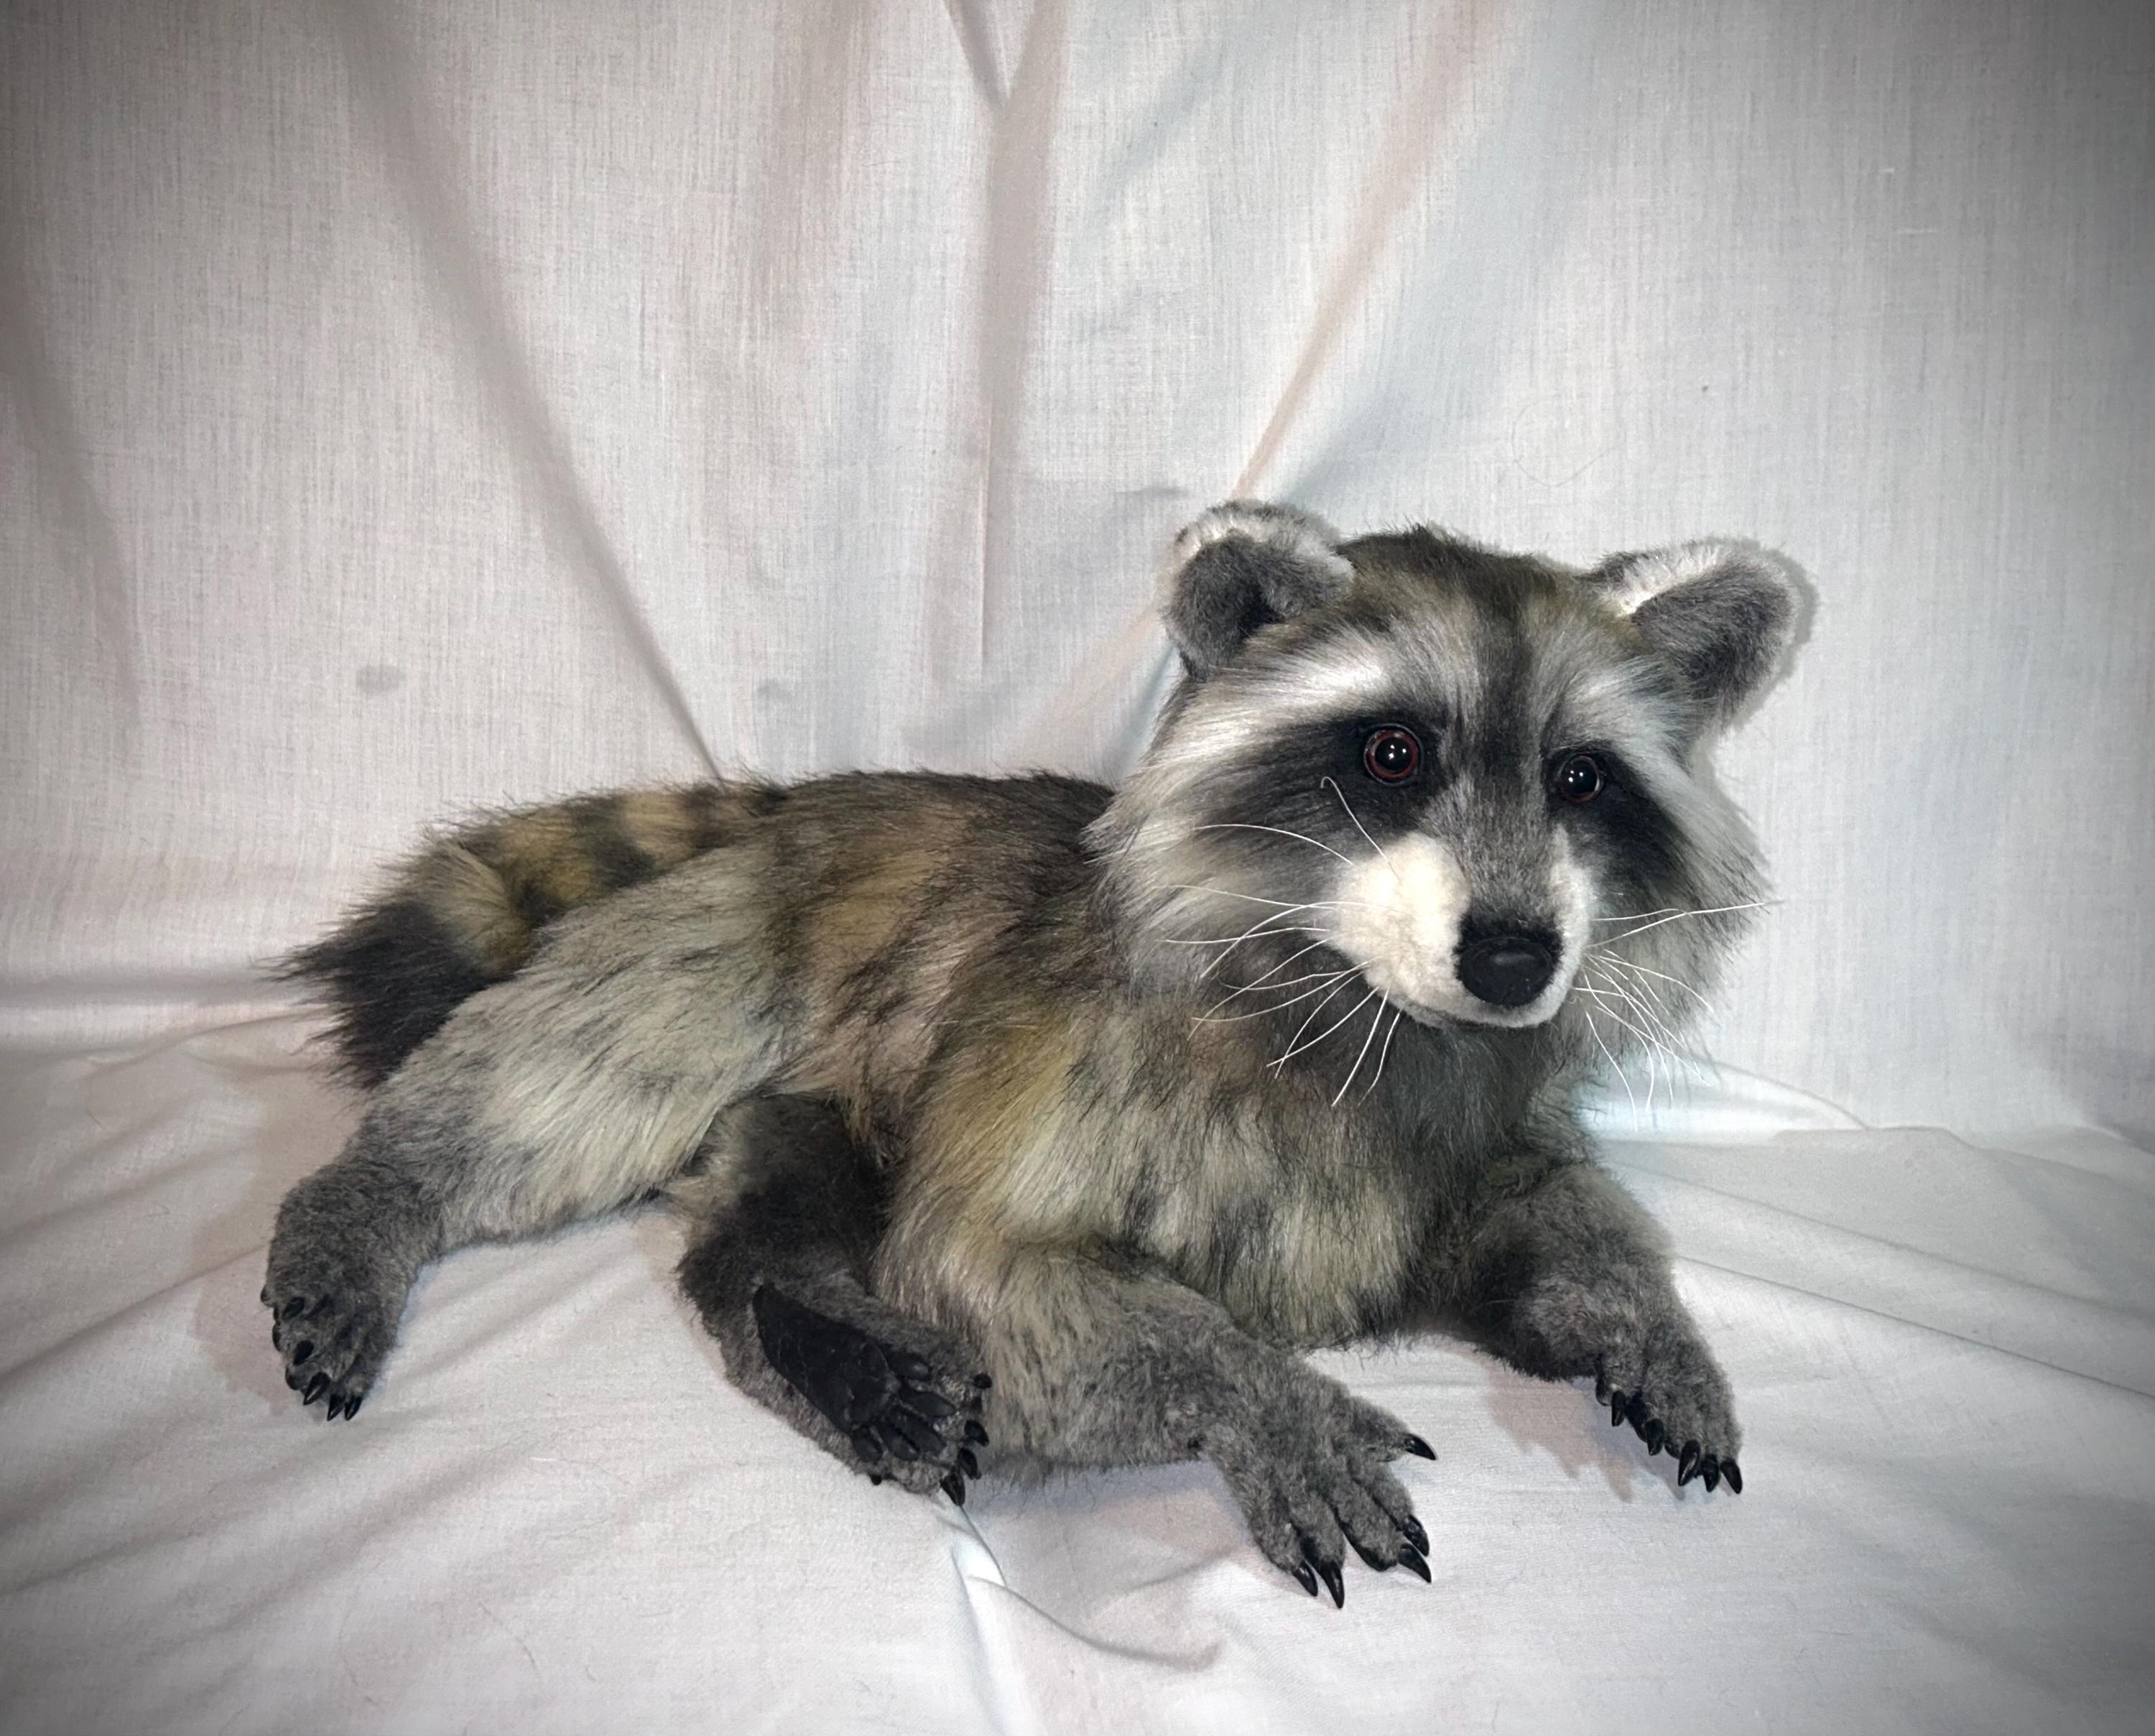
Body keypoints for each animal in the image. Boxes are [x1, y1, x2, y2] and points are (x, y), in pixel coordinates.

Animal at [267, 500, 1802, 1605]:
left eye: (1581, 777)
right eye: (1391, 752)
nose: (1515, 958)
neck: (1363, 1000)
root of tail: (825, 796)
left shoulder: (1466, 1120)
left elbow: (1547, 1213)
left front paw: (1646, 1318)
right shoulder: (1067, 1064)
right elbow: (989, 1263)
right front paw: (1258, 1389)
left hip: (850, 1071)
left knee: (761, 1214)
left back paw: (798, 1316)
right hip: (745, 938)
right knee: (574, 1071)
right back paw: (375, 1196)